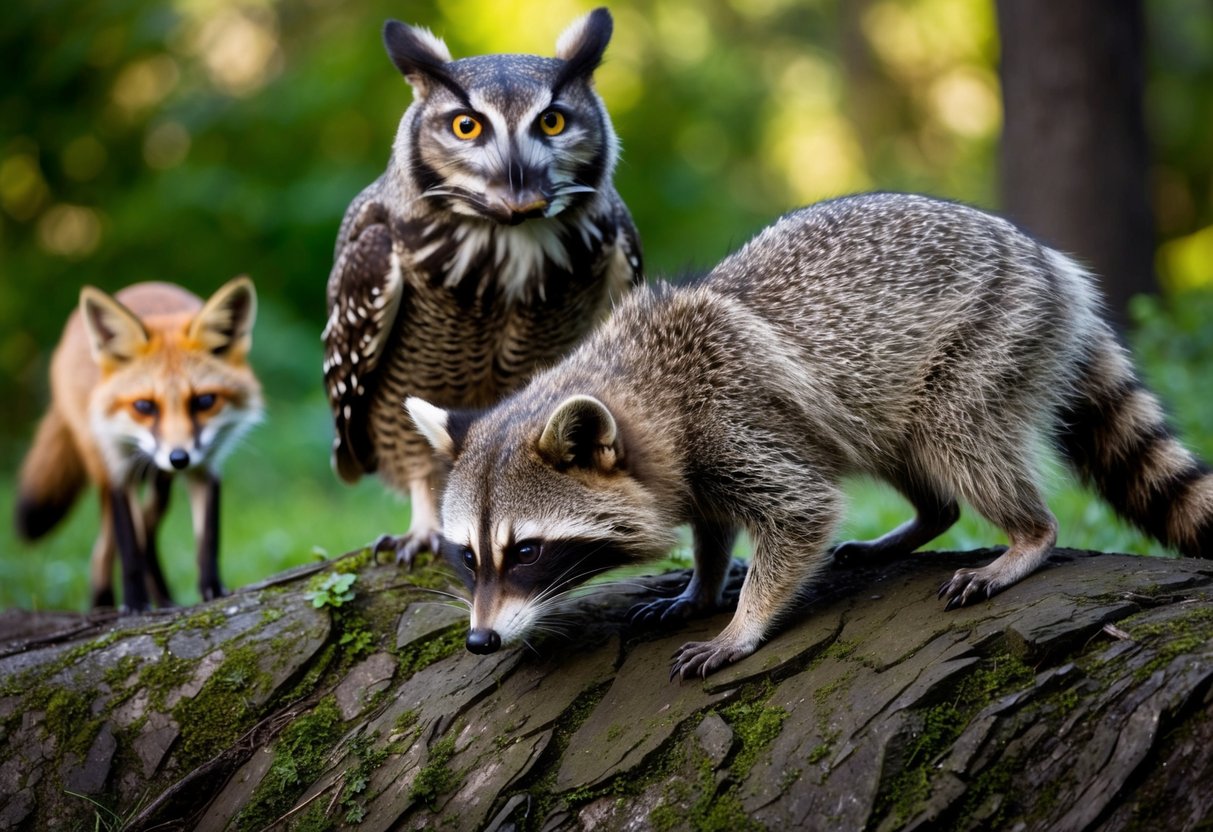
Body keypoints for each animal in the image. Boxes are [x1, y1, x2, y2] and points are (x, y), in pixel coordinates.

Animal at [407, 192, 1213, 678]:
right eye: (468, 555)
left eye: (526, 552)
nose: (479, 639)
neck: (640, 385)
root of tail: (1045, 260)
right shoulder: (695, 457)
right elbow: (711, 520)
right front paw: (703, 579)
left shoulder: (731, 416)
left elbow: (799, 511)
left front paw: (743, 622)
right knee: (910, 450)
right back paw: (926, 518)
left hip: (989, 333)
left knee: (957, 438)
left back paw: (1026, 536)